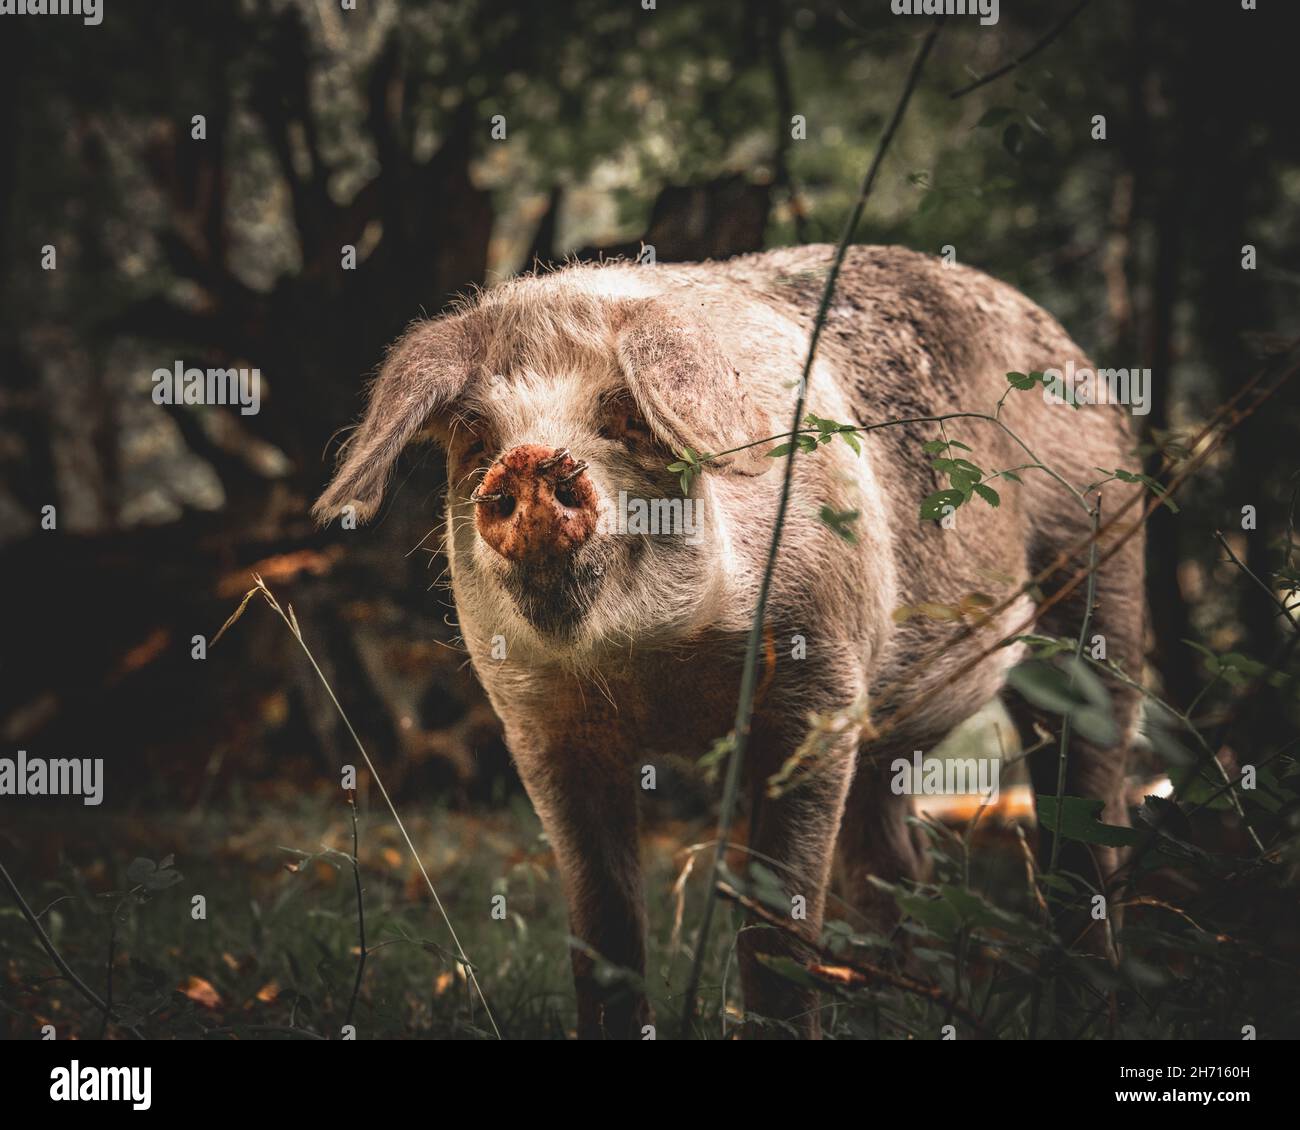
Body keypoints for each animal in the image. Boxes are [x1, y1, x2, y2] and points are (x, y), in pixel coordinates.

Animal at [313, 244, 1146, 1039]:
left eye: (626, 416)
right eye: (477, 435)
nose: (530, 459)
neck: (654, 672)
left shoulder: (820, 687)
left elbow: (776, 928)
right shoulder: (539, 720)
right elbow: (604, 933)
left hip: (1102, 567)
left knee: (1089, 816)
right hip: (892, 726)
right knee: (894, 863)